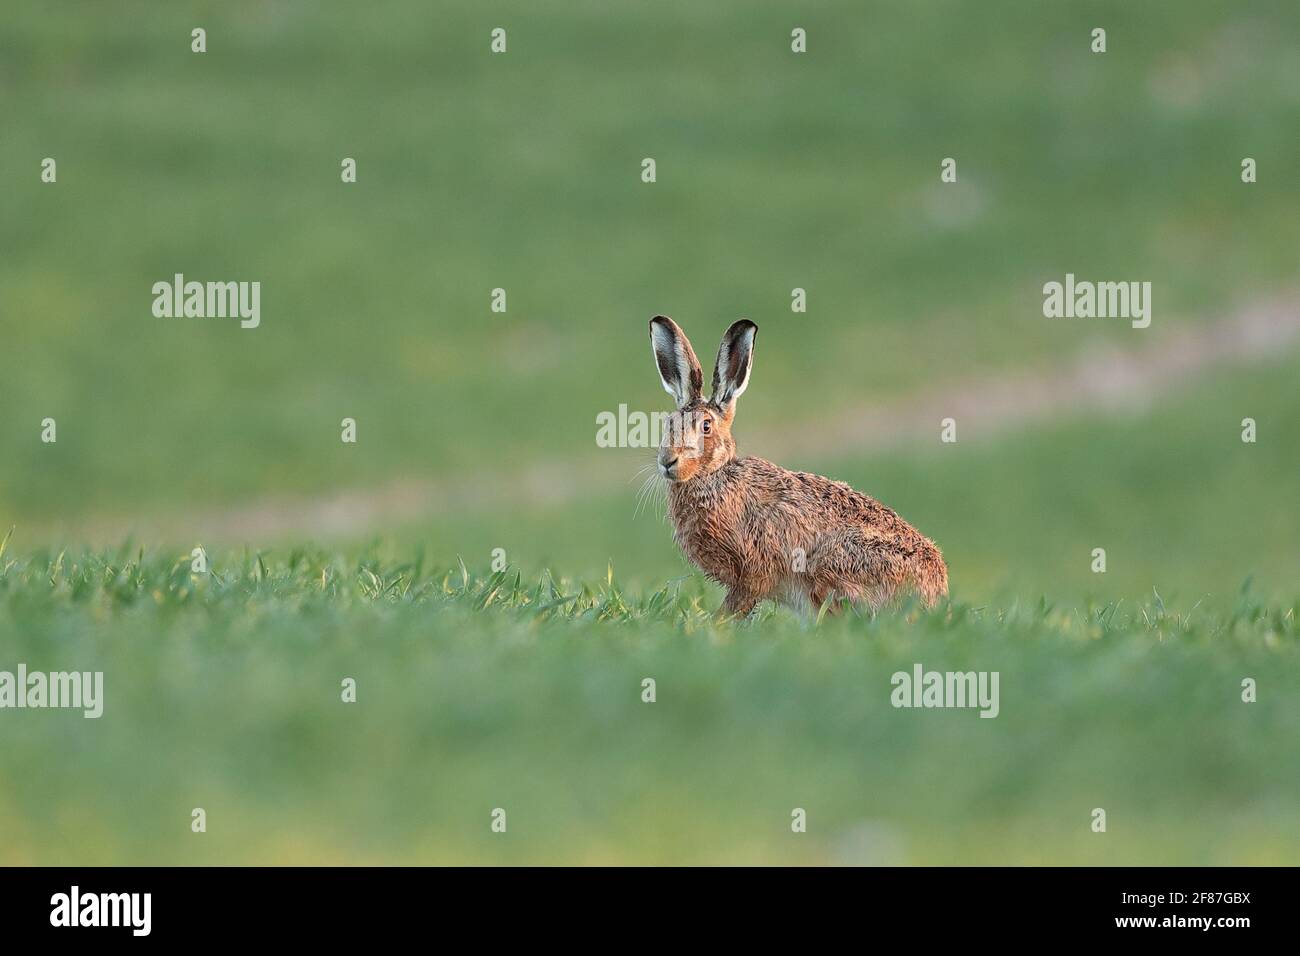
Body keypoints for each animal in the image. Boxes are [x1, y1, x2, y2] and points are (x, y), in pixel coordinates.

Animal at [649, 315, 948, 617]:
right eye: (668, 423)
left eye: (706, 426)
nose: (667, 461)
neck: (714, 475)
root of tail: (935, 591)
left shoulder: (754, 571)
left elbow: (737, 603)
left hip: (830, 563)